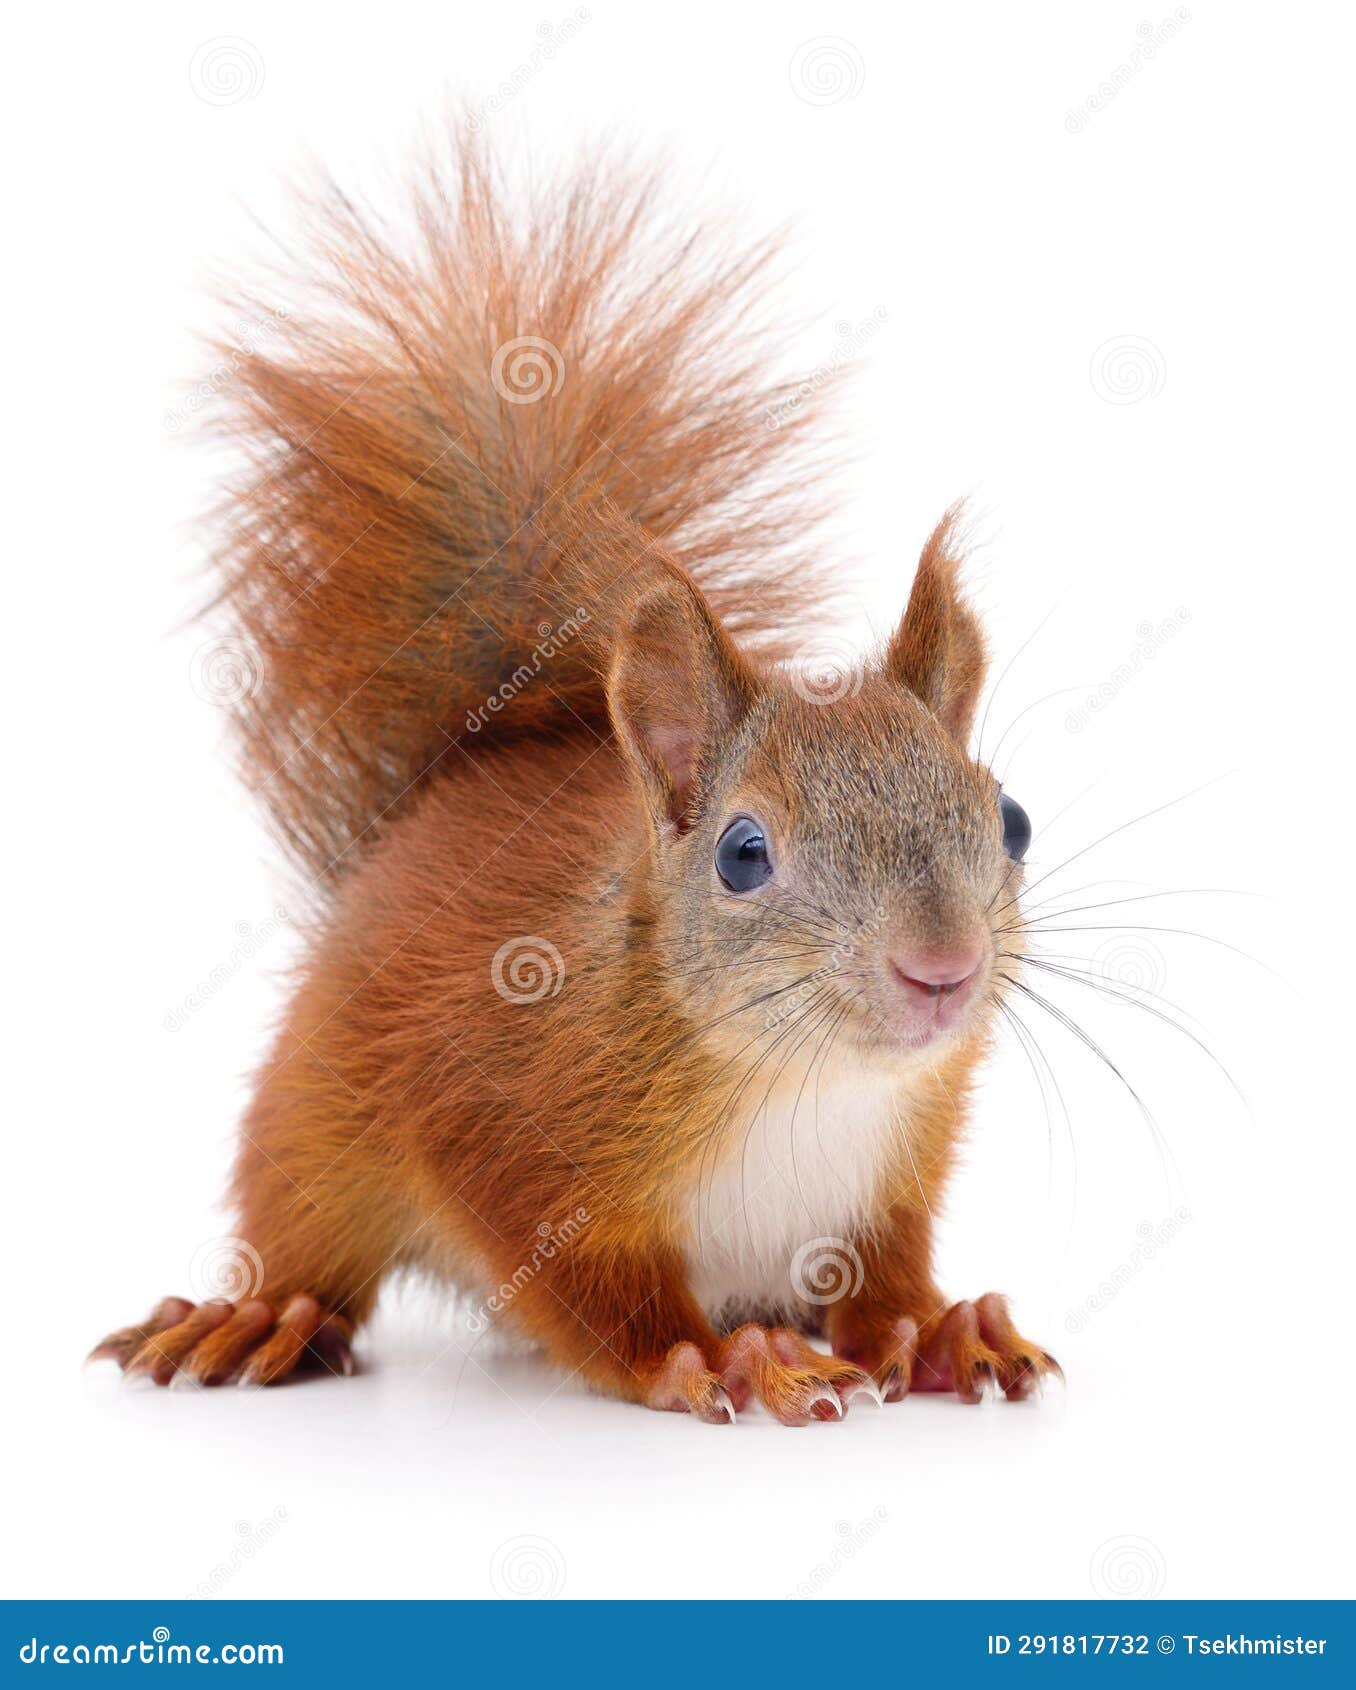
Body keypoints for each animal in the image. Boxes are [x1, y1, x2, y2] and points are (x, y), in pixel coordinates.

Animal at [91, 126, 1059, 1423]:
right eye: (743, 855)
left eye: (1011, 821)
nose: (943, 970)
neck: (803, 1078)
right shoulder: (507, 1126)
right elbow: (590, 1288)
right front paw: (715, 1358)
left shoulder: (888, 1179)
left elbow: (886, 1276)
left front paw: (945, 1328)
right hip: (313, 1117)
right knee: (305, 1229)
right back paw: (259, 1316)